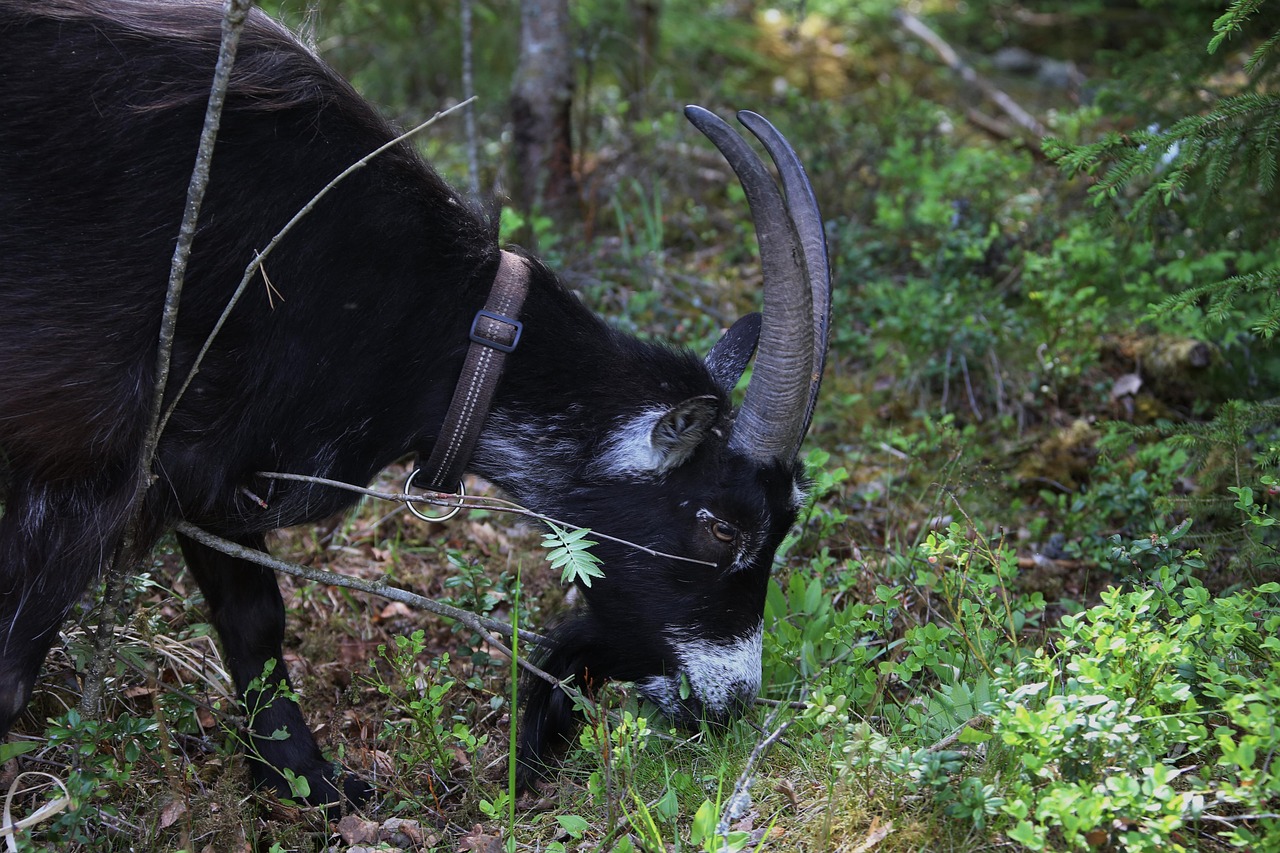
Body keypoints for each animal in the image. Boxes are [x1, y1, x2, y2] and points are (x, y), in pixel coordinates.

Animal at [0, 0, 830, 807]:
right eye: (722, 527)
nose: (732, 702)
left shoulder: (210, 460)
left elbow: (256, 617)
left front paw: (306, 780)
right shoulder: (79, 469)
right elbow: (13, 669)